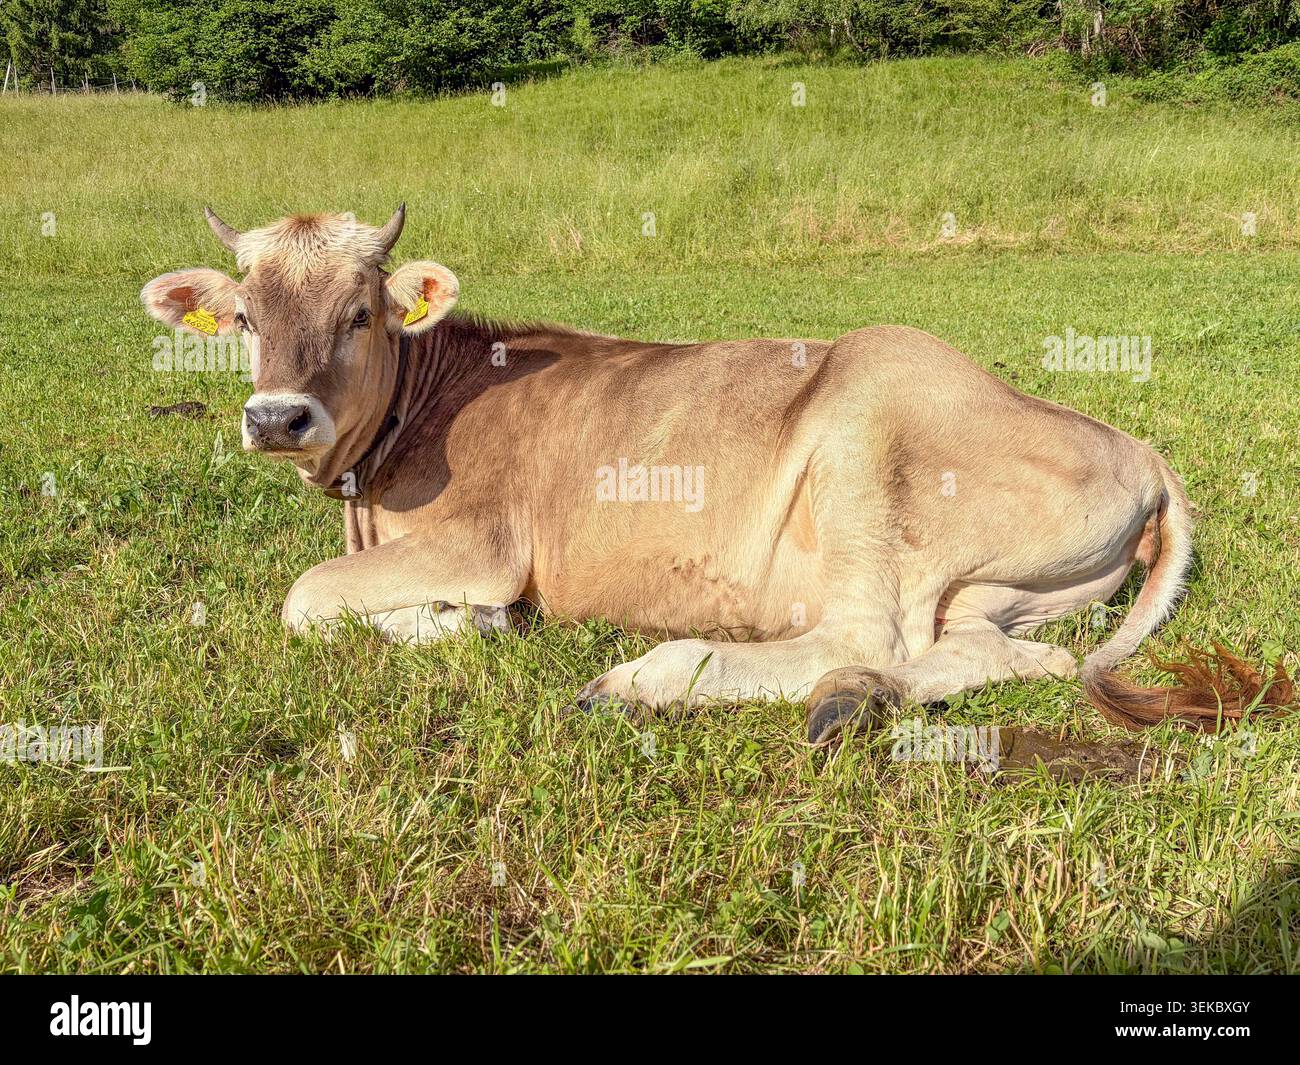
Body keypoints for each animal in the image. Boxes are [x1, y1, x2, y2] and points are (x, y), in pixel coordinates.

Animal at [140, 206, 1292, 745]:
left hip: (865, 427)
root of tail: (1140, 449)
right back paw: (851, 704)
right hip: (997, 597)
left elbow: (304, 596)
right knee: (1001, 658)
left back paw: (643, 681)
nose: (276, 417)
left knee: (862, 634)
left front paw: (470, 623)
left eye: (360, 314)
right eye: (244, 318)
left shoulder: (485, 541)